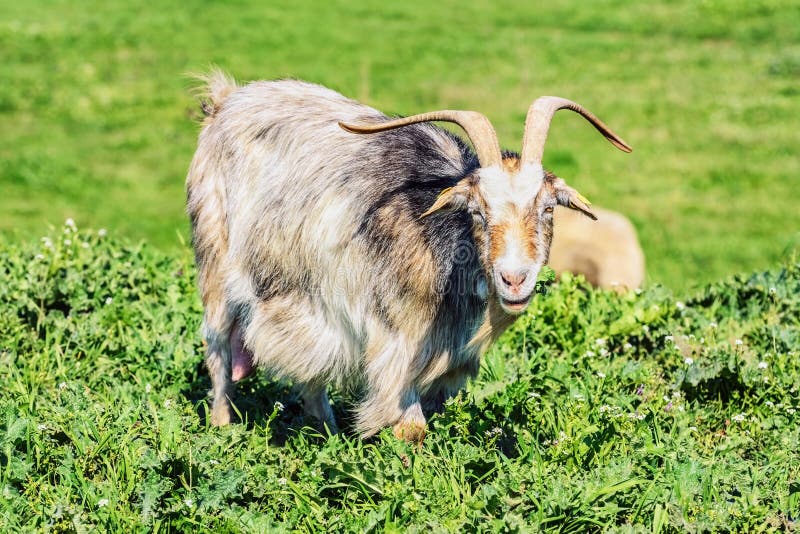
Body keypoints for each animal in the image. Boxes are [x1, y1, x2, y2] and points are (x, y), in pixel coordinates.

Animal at [186, 70, 631, 441]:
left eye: (548, 208)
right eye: (476, 211)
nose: (514, 278)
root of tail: (225, 100)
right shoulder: (395, 350)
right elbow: (411, 429)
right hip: (216, 265)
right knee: (218, 351)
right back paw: (223, 429)